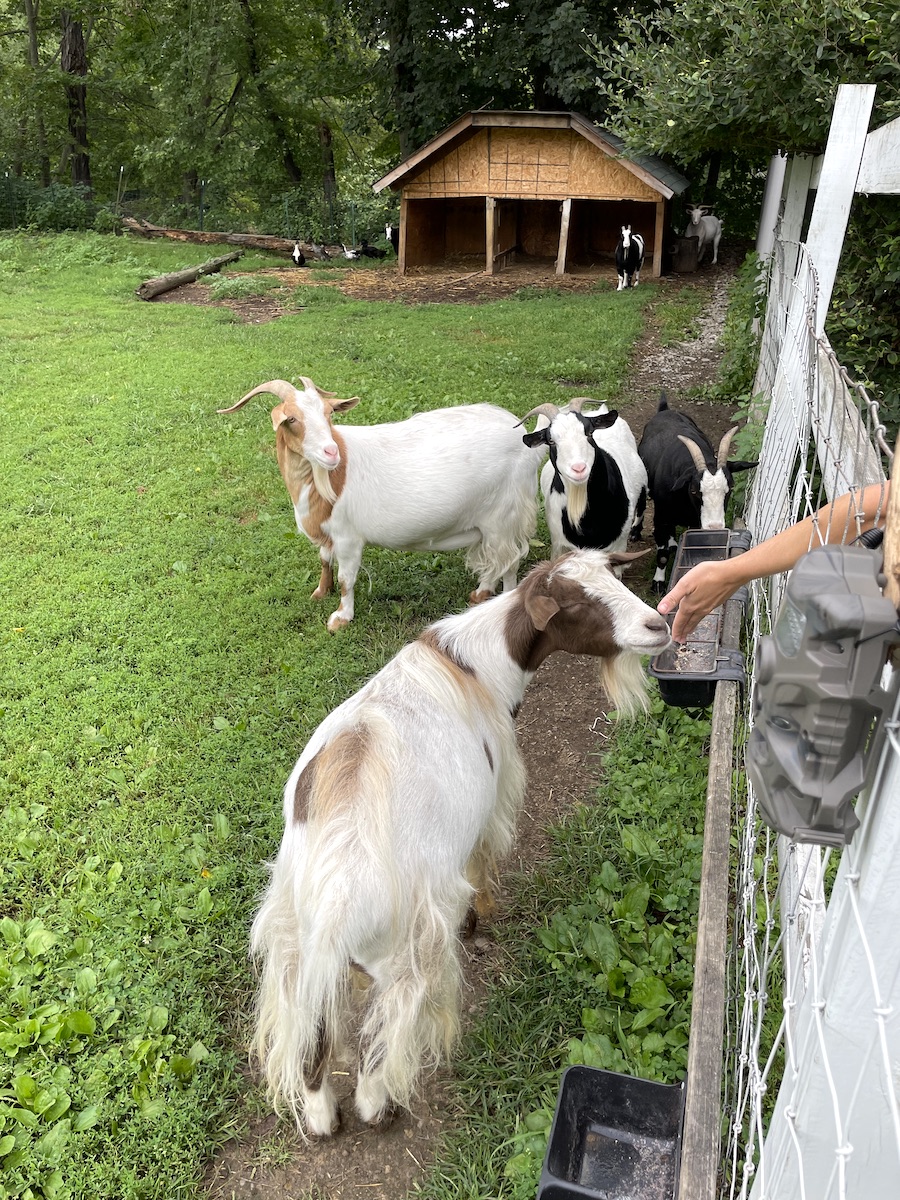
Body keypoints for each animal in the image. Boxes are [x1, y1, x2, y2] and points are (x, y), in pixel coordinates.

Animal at [218, 378, 548, 630]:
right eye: (292, 419)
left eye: (328, 414)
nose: (331, 452)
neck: (329, 478)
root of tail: (526, 438)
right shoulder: (328, 532)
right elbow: (324, 561)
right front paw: (320, 592)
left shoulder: (348, 537)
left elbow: (346, 579)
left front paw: (340, 618)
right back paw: (480, 593)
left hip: (505, 514)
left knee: (509, 561)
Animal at [250, 549, 672, 1136]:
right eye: (575, 603)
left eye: (612, 577)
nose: (658, 626)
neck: (473, 667)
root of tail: (338, 901)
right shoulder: (492, 803)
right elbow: (481, 863)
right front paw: (480, 920)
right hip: (403, 950)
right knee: (386, 1036)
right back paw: (378, 1105)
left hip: (297, 943)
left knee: (311, 1035)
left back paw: (320, 1115)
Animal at [519, 399, 647, 569]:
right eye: (551, 441)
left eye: (590, 433)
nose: (579, 468)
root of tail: (599, 411)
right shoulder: (559, 544)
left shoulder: (618, 545)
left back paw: (635, 533)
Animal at [636, 394, 756, 590]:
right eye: (694, 490)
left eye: (730, 488)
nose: (715, 527)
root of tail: (665, 409)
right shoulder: (661, 517)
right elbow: (662, 553)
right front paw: (658, 583)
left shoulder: (695, 523)